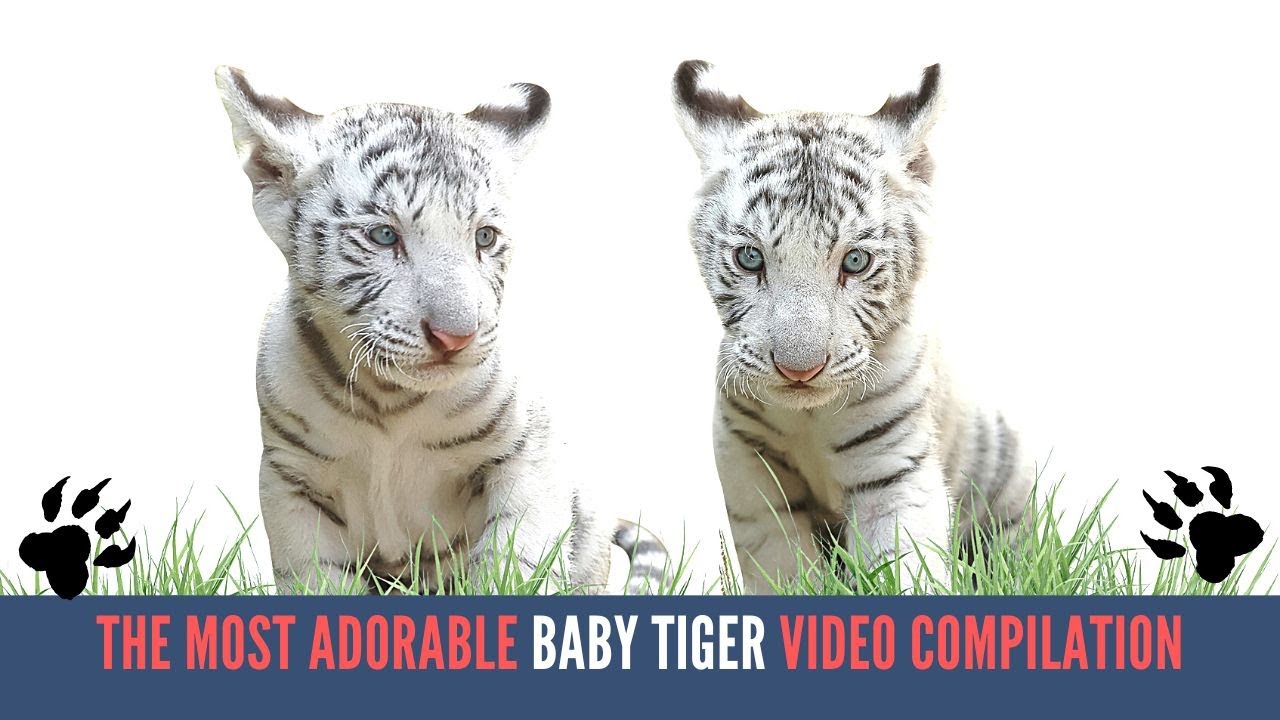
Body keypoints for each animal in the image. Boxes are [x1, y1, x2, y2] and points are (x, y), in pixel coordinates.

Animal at [215, 67, 665, 594]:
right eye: (383, 235)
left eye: (484, 237)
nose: (457, 337)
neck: (390, 402)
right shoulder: (291, 477)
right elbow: (317, 577)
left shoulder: (528, 454)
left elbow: (515, 561)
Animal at [671, 60, 1035, 593]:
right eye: (750, 257)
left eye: (856, 261)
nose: (798, 371)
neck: (808, 416)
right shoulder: (749, 470)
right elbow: (782, 567)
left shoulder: (894, 469)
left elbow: (904, 562)